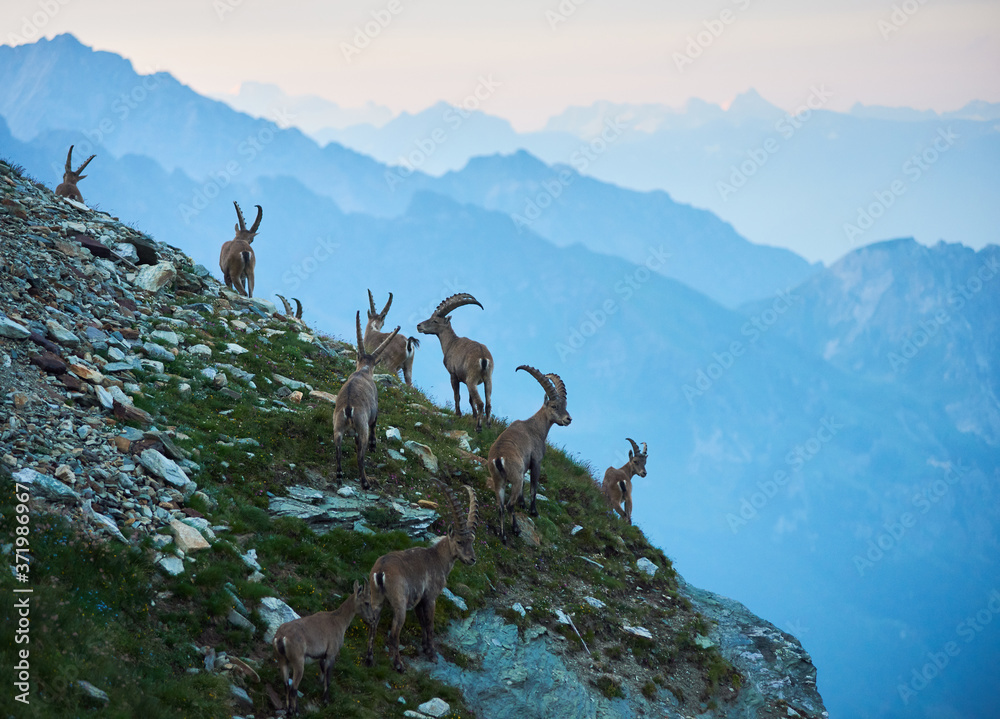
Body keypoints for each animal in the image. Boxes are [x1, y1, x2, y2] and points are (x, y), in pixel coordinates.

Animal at [272, 580, 369, 715]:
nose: (372, 618)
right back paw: (296, 711)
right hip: (298, 662)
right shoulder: (331, 654)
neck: (338, 621)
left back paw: (289, 710)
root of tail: (281, 637)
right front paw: (326, 702)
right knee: (294, 688)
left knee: (286, 685)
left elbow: (322, 673)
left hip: (282, 660)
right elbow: (328, 679)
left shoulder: (322, 656)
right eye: (367, 602)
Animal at [333, 311, 400, 489]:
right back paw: (365, 482)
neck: (363, 371)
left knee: (338, 451)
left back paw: (339, 476)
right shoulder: (374, 410)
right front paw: (373, 446)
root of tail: (348, 408)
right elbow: (375, 423)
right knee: (360, 457)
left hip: (338, 428)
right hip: (362, 429)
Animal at [361, 479, 478, 672]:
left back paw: (369, 659)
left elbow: (422, 622)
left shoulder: (418, 600)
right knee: (394, 634)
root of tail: (381, 572)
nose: (472, 559)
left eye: (472, 541)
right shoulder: (430, 598)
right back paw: (398, 665)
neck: (437, 558)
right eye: (460, 541)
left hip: (376, 599)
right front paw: (432, 654)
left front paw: (425, 648)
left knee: (372, 624)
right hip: (399, 603)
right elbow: (429, 624)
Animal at [416, 293, 493, 431]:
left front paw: (458, 414)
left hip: (472, 380)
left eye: (435, 321)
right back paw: (488, 426)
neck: (451, 343)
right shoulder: (468, 380)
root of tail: (483, 358)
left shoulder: (453, 375)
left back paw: (478, 427)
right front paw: (473, 416)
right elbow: (470, 400)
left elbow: (457, 395)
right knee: (488, 403)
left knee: (480, 403)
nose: (419, 326)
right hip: (488, 380)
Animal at [486, 366, 571, 543]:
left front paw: (523, 504)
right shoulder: (536, 461)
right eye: (554, 406)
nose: (568, 419)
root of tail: (498, 459)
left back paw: (503, 536)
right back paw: (516, 529)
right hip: (515, 478)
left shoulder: (524, 466)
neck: (535, 427)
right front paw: (533, 511)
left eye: (565, 405)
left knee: (501, 506)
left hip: (499, 480)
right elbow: (533, 487)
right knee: (509, 505)